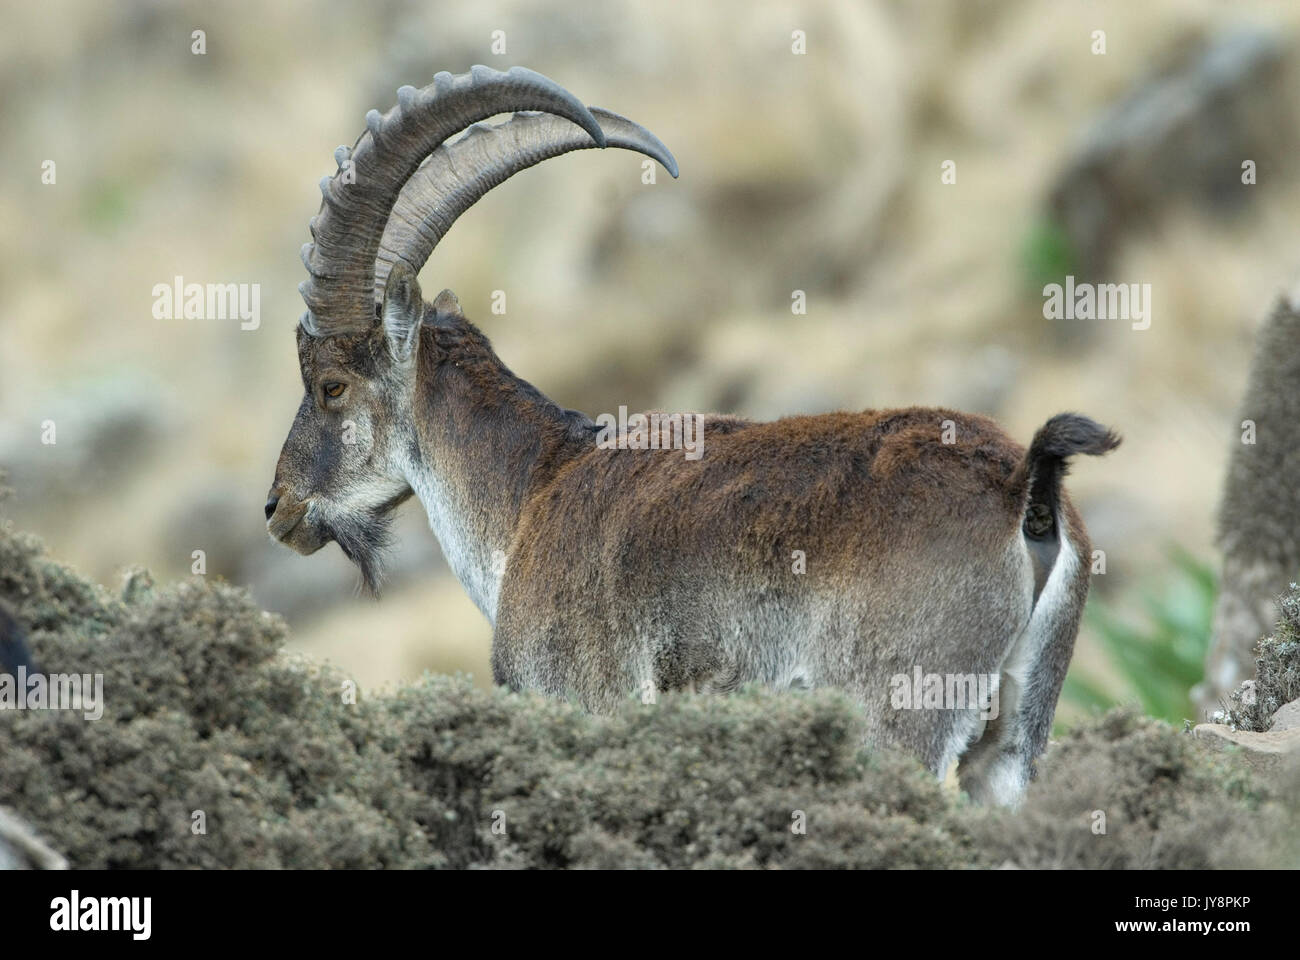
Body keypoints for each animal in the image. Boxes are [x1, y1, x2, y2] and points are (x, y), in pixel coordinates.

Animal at [266, 66, 1118, 805]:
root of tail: (1024, 490)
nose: (279, 508)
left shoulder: (592, 699)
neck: (532, 493)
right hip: (1011, 748)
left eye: (331, 384)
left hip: (900, 715)